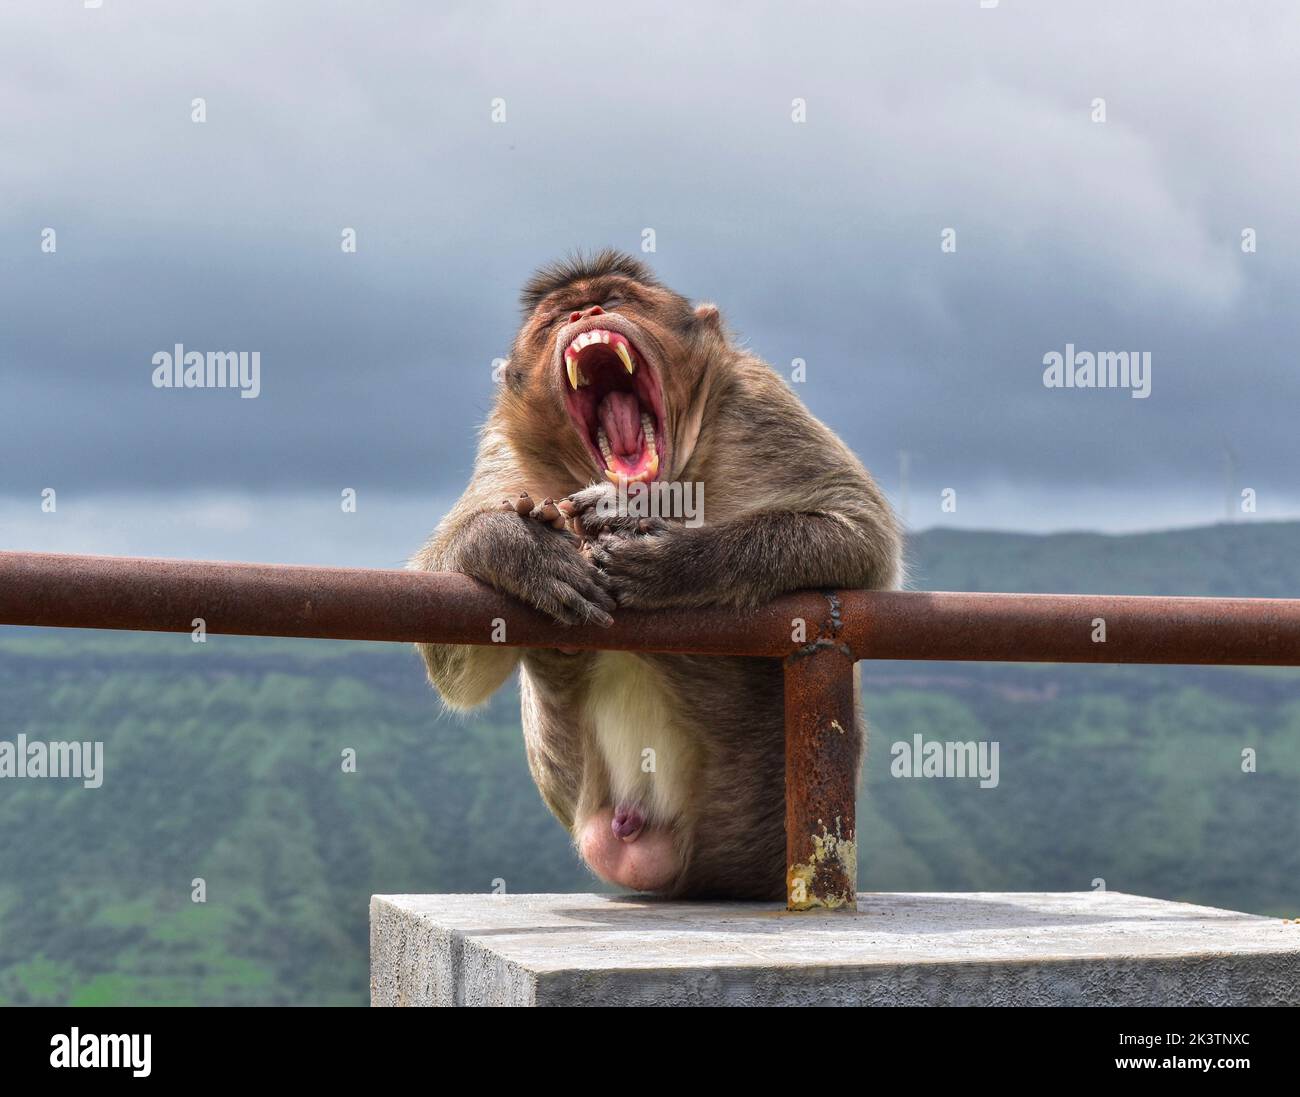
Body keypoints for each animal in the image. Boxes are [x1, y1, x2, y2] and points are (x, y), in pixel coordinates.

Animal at [411, 251, 901, 899]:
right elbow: (452, 658)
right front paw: (520, 550)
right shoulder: (505, 448)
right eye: (558, 316)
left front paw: (664, 558)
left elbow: (861, 535)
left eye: (617, 297)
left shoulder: (756, 401)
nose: (588, 312)